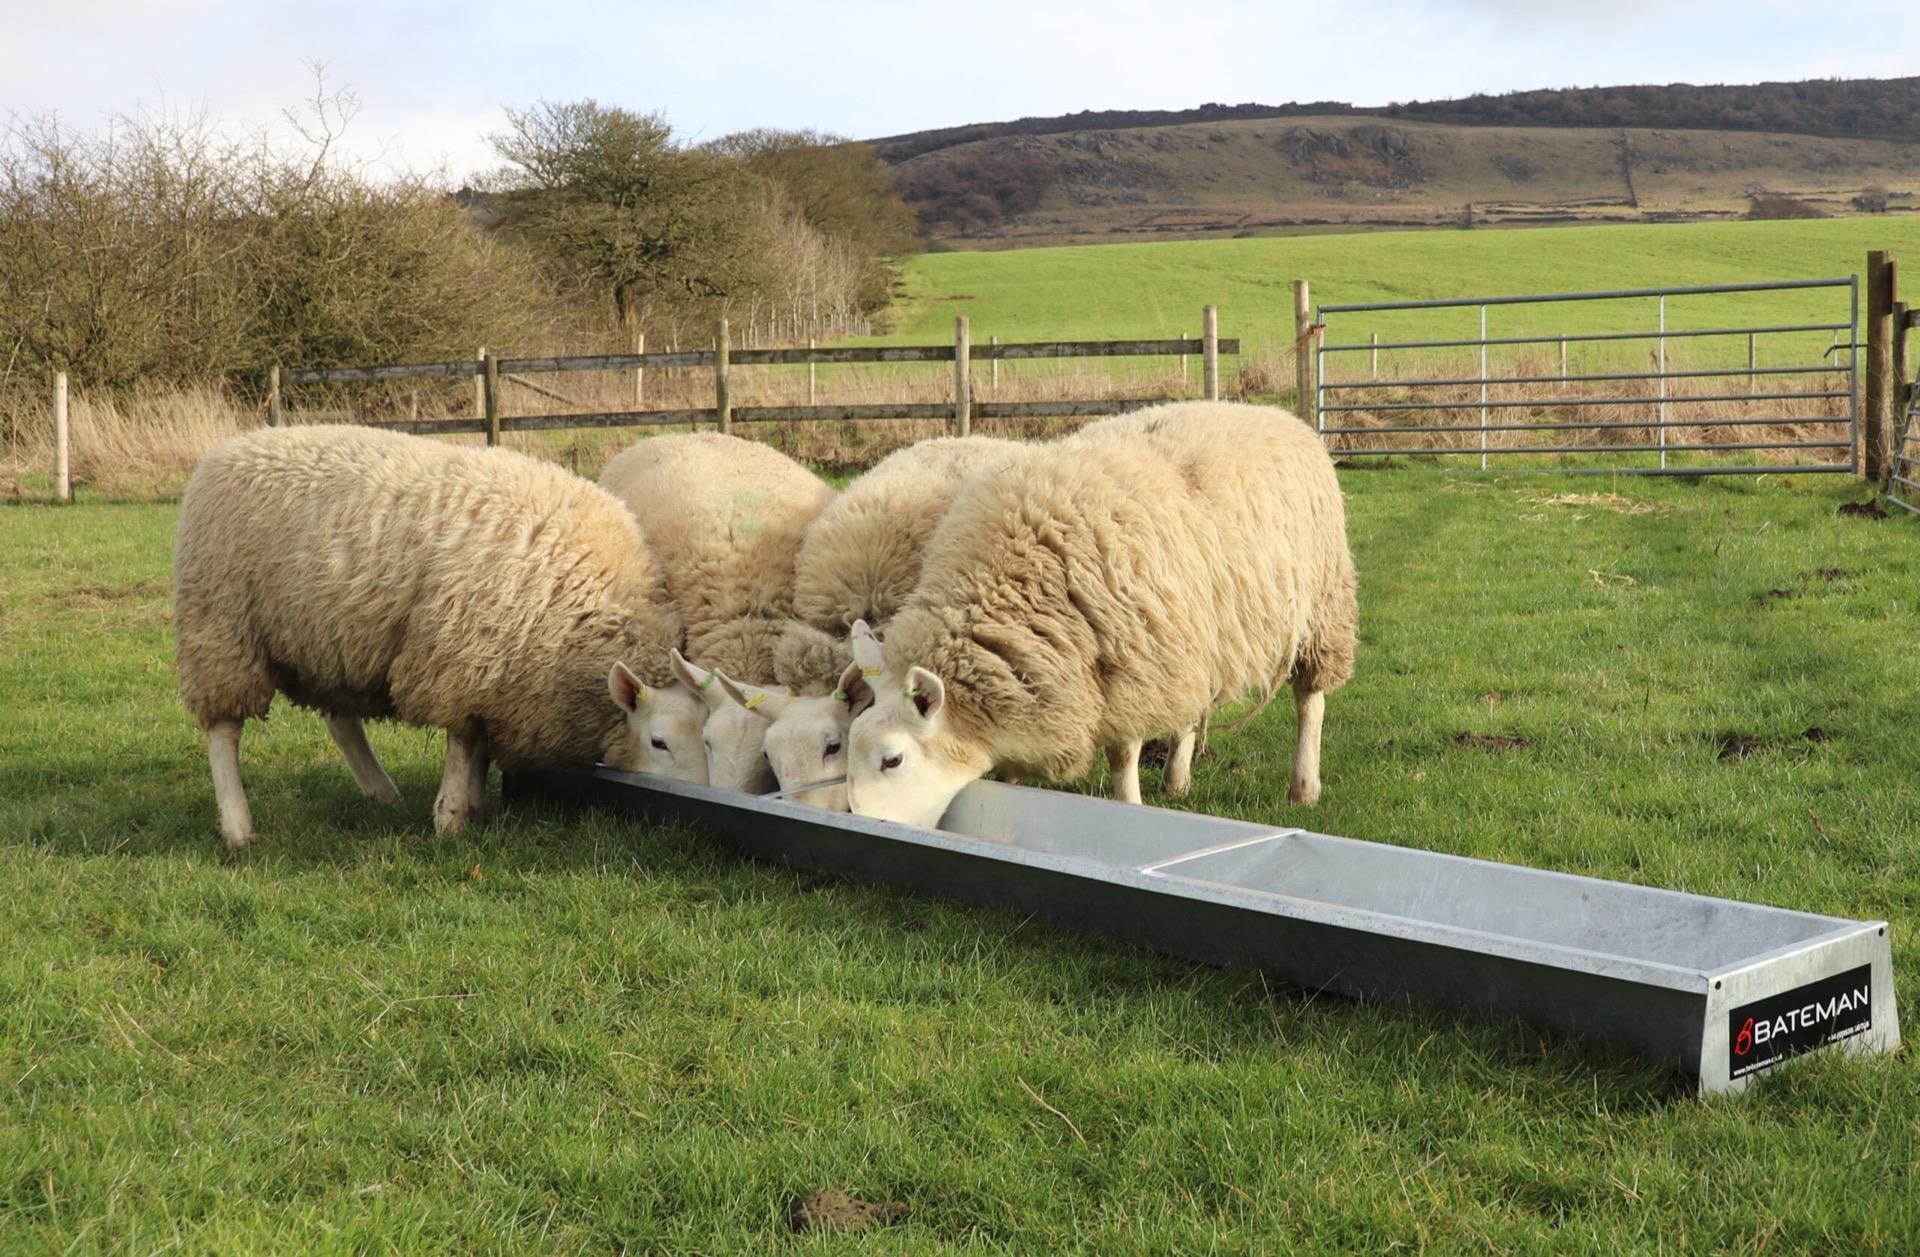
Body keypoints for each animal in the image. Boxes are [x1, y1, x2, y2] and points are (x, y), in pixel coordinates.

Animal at [173, 424, 688, 851]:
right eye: (659, 742)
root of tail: (223, 451)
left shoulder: (491, 673)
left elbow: (478, 746)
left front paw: (474, 808)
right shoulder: (459, 659)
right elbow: (463, 744)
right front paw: (452, 818)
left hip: (331, 636)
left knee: (340, 721)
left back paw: (382, 792)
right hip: (221, 628)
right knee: (223, 732)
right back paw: (238, 827)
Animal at [840, 400, 1357, 831]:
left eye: (892, 760)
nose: (860, 824)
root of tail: (1275, 414)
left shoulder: (1127, 667)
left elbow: (1122, 756)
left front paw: (1128, 807)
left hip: (1321, 608)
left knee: (1310, 700)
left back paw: (1303, 787)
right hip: (1185, 631)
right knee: (1190, 707)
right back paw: (1176, 778)